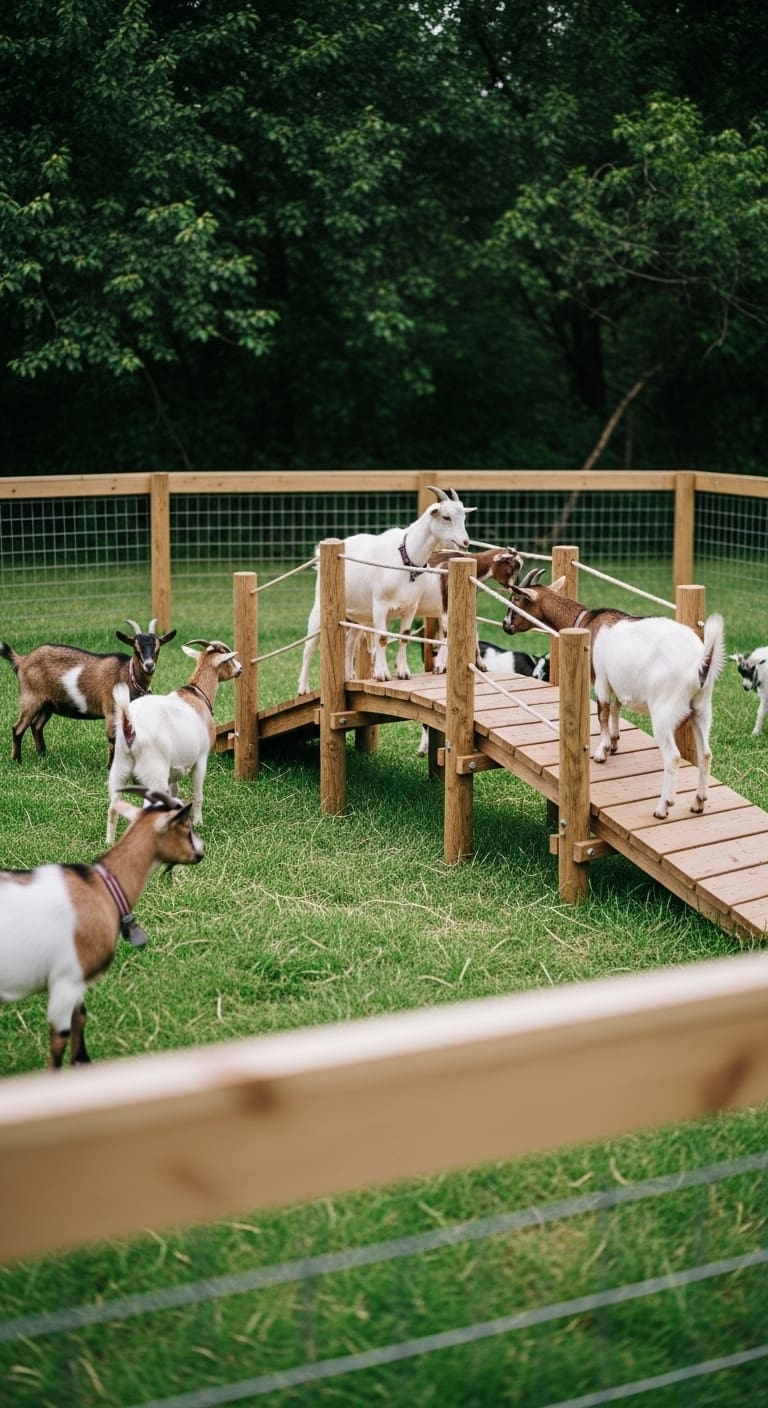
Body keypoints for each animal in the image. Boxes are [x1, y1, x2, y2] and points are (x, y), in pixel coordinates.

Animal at [0, 620, 176, 765]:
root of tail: (22, 660)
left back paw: (43, 754)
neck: (126, 674)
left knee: (36, 726)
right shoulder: (111, 710)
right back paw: (17, 760)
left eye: (158, 650)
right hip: (30, 698)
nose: (149, 665)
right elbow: (113, 738)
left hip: (47, 704)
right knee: (18, 728)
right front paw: (110, 768)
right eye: (136, 649)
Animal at [0, 788, 204, 1069]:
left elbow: (81, 1018)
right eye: (186, 827)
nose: (202, 852)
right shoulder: (66, 980)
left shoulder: (77, 983)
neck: (102, 888)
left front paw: (83, 1062)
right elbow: (59, 1040)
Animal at [106, 640, 242, 843]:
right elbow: (198, 793)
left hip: (119, 770)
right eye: (229, 658)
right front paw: (199, 822)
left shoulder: (173, 769)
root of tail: (130, 727)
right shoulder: (201, 759)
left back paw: (109, 842)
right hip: (154, 775)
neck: (197, 695)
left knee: (113, 808)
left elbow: (175, 791)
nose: (240, 669)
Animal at [296, 487, 476, 694]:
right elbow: (381, 639)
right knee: (309, 647)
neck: (406, 557)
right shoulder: (380, 605)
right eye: (446, 517)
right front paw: (382, 675)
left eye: (464, 517)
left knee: (349, 642)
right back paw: (303, 688)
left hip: (356, 615)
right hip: (320, 606)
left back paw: (348, 676)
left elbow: (404, 637)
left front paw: (403, 673)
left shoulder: (411, 607)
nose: (465, 542)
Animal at [503, 576, 726, 819]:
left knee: (673, 757)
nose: (505, 625)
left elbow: (602, 712)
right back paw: (698, 803)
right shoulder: (617, 681)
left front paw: (601, 752)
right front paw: (615, 742)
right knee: (706, 754)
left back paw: (663, 807)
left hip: (664, 711)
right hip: (702, 708)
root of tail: (700, 662)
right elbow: (617, 708)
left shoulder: (600, 678)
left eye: (516, 599)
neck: (585, 623)